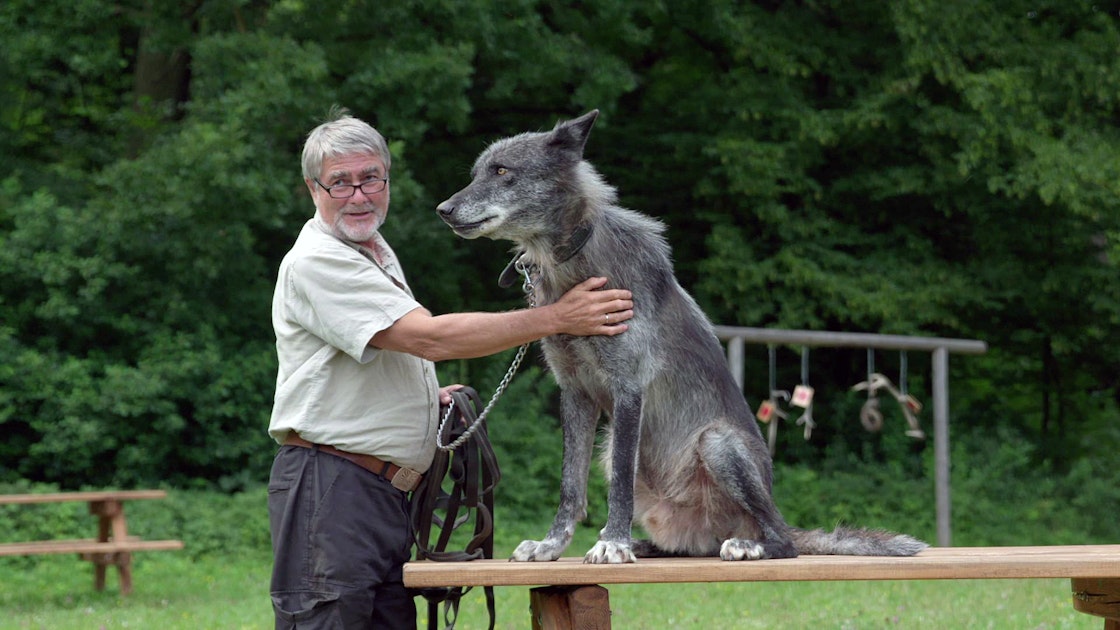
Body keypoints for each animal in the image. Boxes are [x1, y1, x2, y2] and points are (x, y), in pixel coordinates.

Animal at [436, 110, 927, 564]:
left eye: (503, 172)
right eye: (477, 173)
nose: (443, 210)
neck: (575, 260)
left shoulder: (628, 391)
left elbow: (617, 487)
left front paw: (612, 543)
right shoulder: (576, 395)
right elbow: (570, 487)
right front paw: (553, 545)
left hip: (715, 442)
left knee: (783, 541)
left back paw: (747, 546)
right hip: (618, 453)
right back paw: (648, 545)